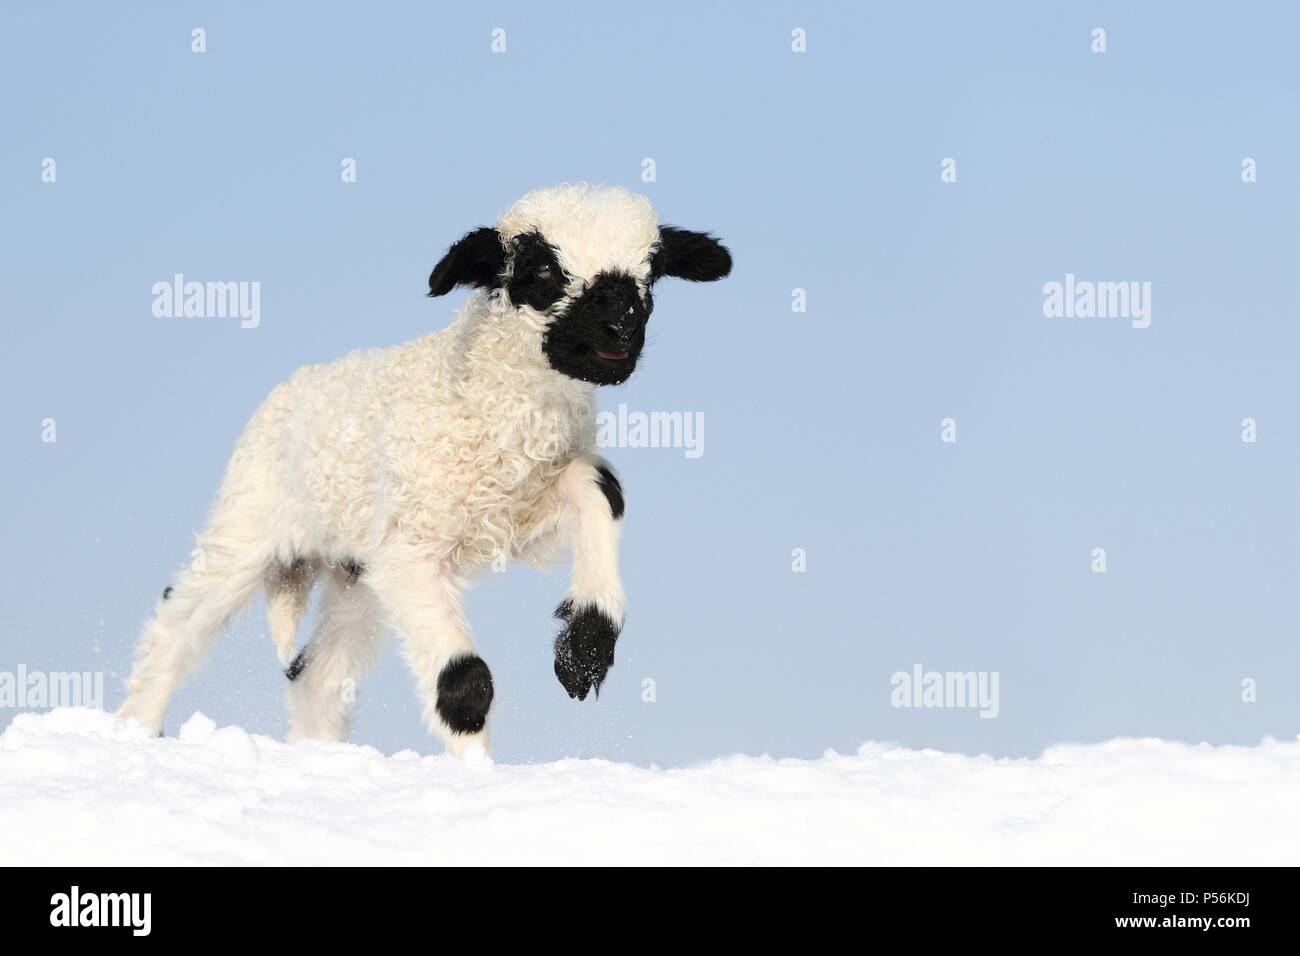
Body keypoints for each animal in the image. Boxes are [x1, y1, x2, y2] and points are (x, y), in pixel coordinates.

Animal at [116, 184, 732, 756]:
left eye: (650, 273)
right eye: (541, 269)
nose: (622, 326)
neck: (485, 404)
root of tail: (294, 384)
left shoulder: (517, 514)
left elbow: (603, 489)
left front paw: (584, 650)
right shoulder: (411, 551)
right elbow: (466, 684)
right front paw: (478, 775)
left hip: (356, 575)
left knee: (316, 677)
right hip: (251, 523)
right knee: (176, 622)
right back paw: (135, 729)